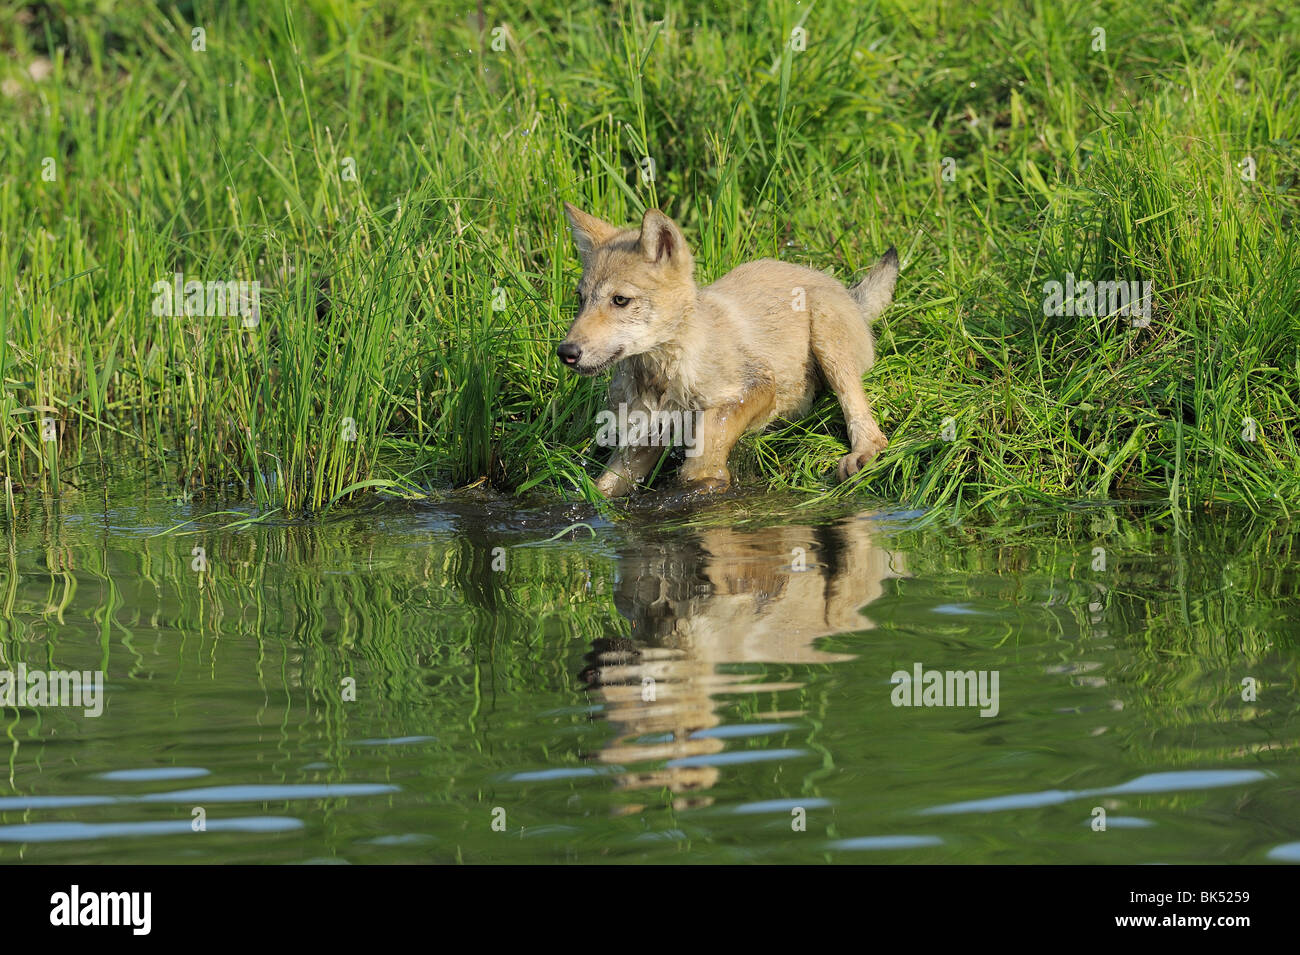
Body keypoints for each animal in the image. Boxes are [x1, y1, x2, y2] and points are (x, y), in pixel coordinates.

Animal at [557, 203, 899, 496]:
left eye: (620, 300)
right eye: (580, 299)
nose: (566, 352)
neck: (666, 375)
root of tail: (845, 290)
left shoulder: (758, 384)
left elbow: (711, 433)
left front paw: (705, 475)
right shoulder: (645, 435)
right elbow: (602, 488)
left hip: (828, 338)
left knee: (868, 425)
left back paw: (861, 454)